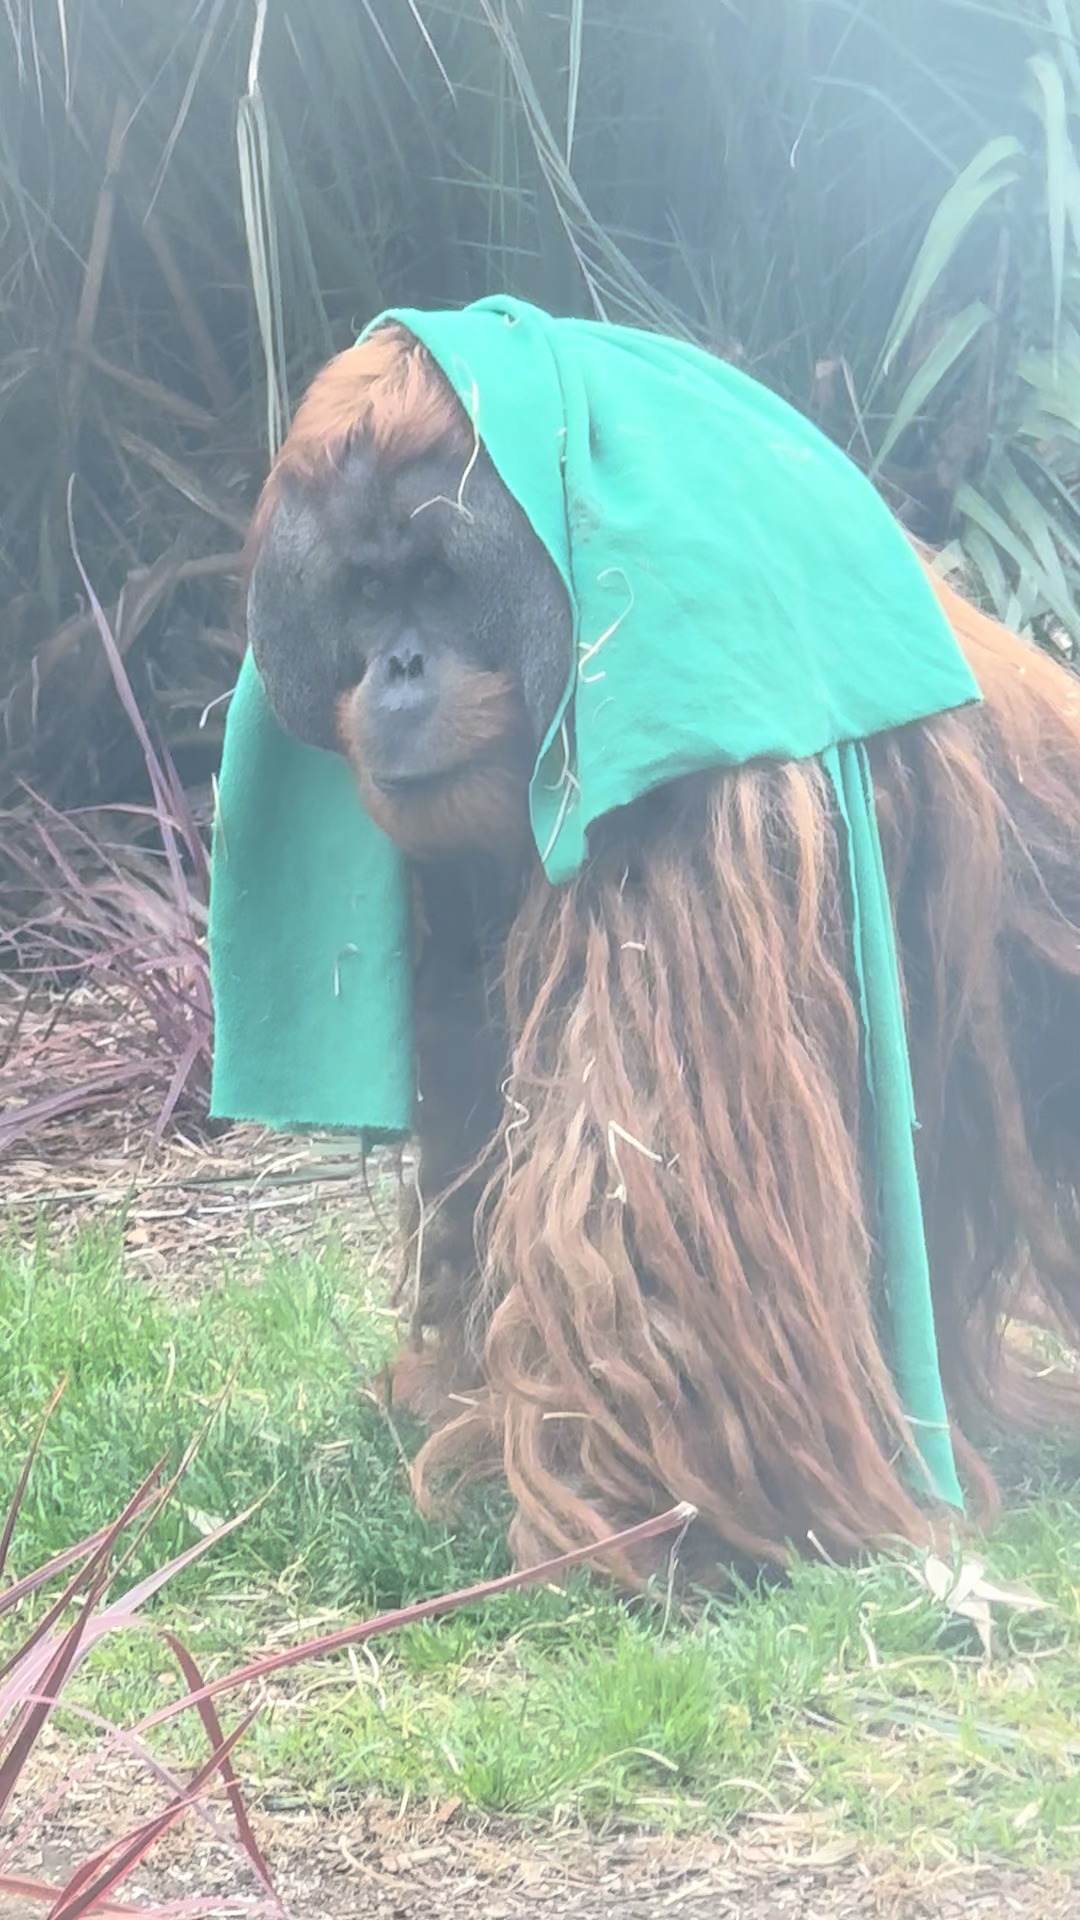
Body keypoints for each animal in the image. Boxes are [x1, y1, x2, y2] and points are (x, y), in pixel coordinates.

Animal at [242, 317, 1080, 1583]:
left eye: (439, 583)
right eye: (370, 591)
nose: (397, 668)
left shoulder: (693, 763)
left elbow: (648, 1176)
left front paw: (641, 1520)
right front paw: (459, 1398)